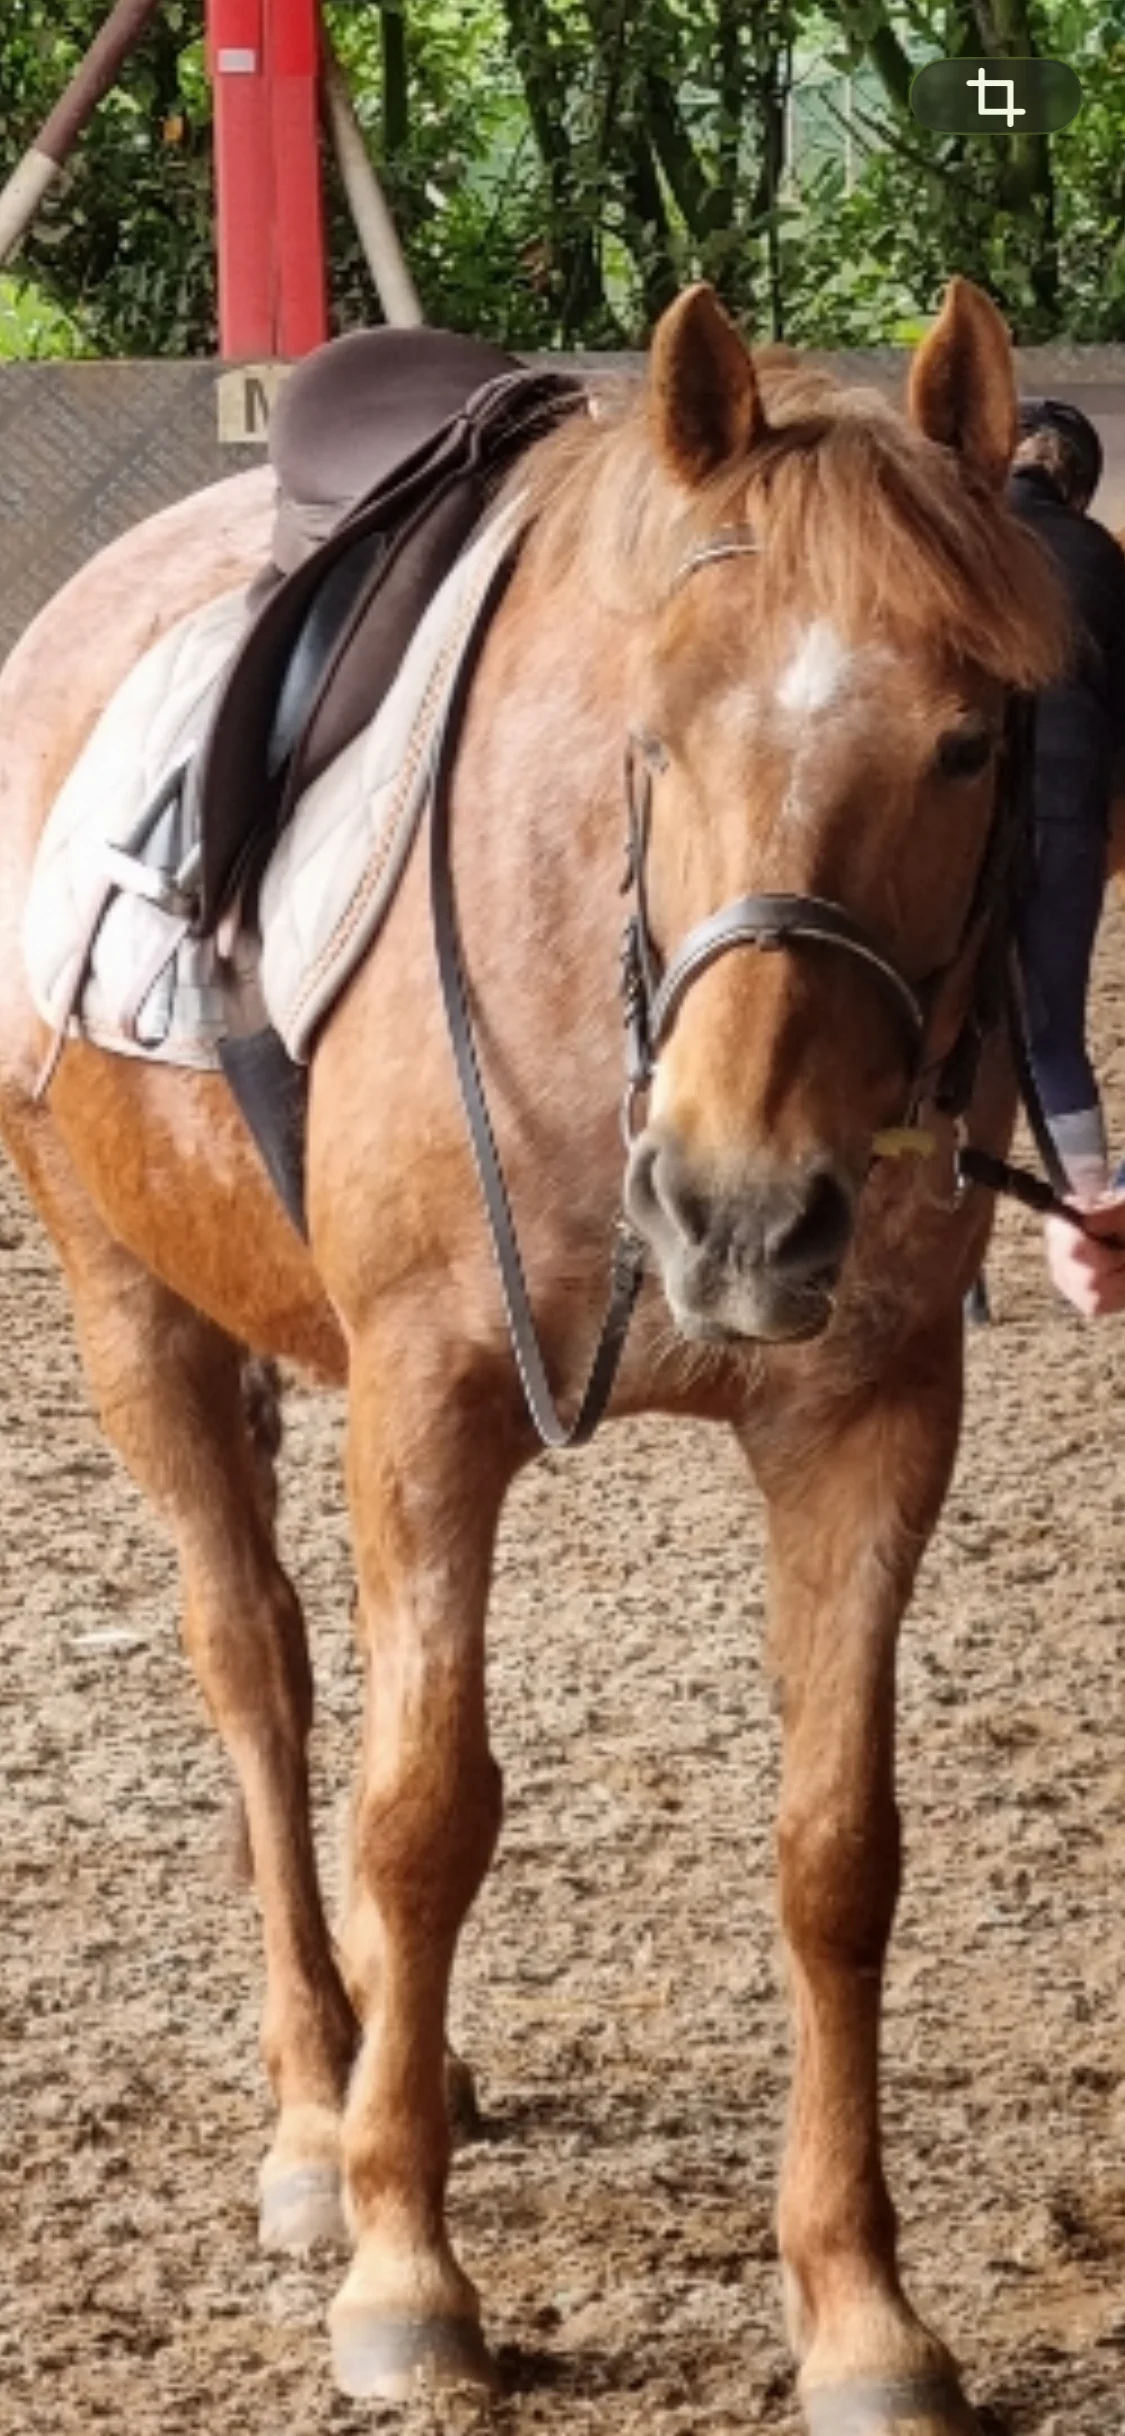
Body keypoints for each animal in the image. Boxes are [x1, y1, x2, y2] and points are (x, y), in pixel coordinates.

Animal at [0, 278, 1065, 2436]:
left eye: (965, 738)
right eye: (651, 728)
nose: (736, 1210)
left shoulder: (872, 1419)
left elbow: (836, 1850)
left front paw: (858, 2310)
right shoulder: (430, 1404)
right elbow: (423, 1815)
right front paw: (406, 2272)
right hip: (128, 1310)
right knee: (255, 1673)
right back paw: (316, 2119)